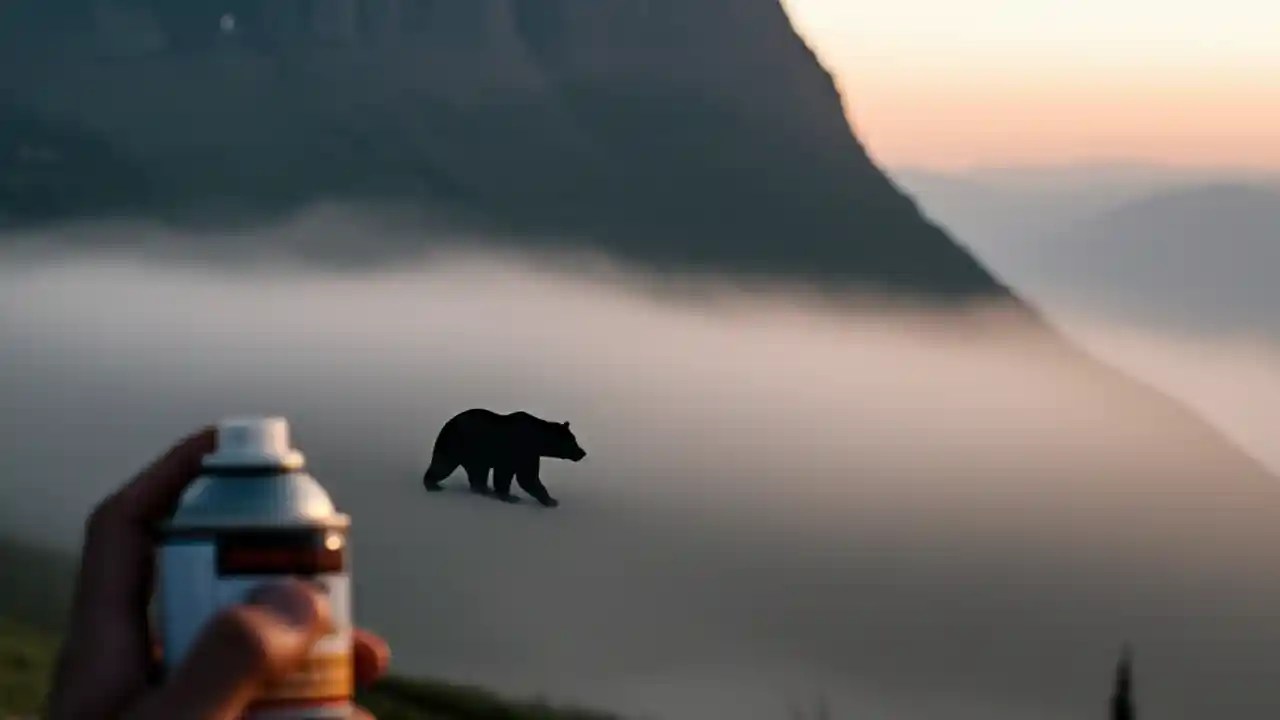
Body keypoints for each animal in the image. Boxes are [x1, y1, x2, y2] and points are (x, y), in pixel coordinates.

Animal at [421, 409, 587, 508]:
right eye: (572, 441)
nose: (582, 452)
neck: (538, 440)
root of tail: (447, 424)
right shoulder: (518, 451)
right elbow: (522, 477)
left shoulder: (530, 455)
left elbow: (526, 476)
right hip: (457, 444)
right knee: (443, 465)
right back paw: (433, 485)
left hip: (475, 454)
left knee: (477, 472)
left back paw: (483, 489)